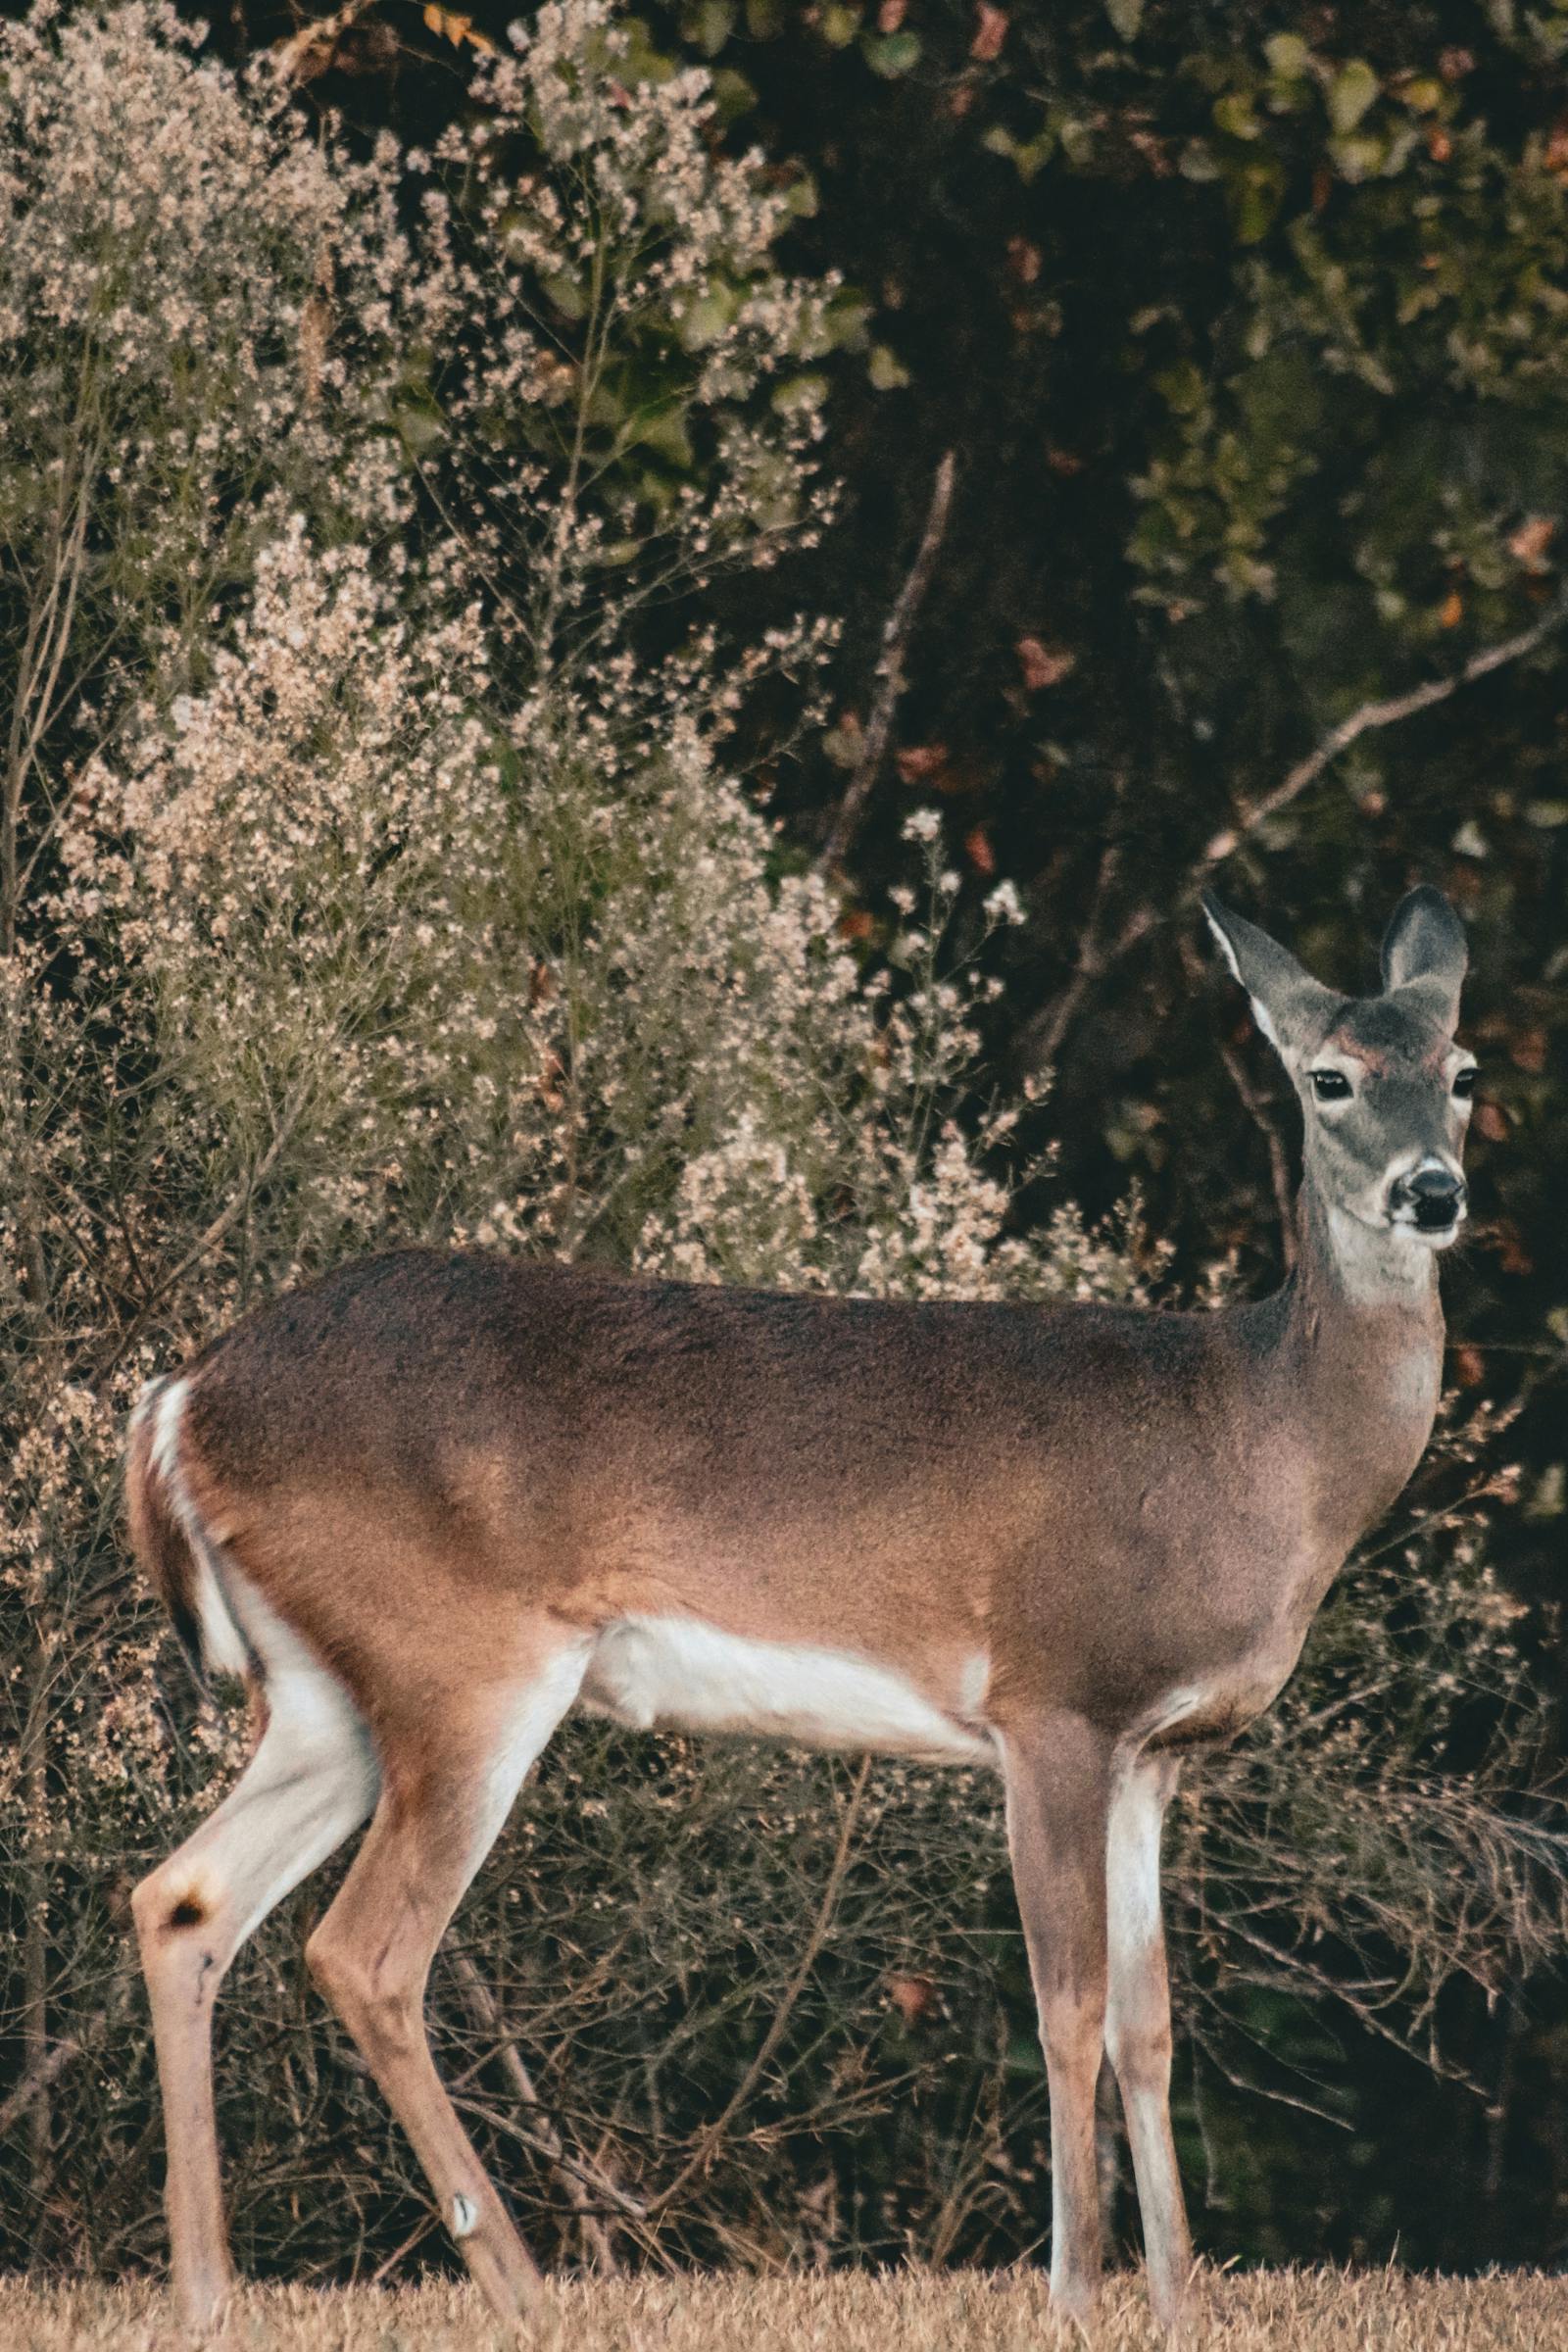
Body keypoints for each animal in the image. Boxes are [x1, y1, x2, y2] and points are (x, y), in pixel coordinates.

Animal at [123, 885, 1476, 2337]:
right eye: (1329, 1077)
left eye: (1460, 1072)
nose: (1434, 1192)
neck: (1254, 1441)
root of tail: (181, 1398)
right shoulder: (1053, 1698)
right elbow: (1066, 2007)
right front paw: (1073, 2294)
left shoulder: (1156, 1754)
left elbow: (1149, 2022)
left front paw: (1174, 2305)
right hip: (464, 1661)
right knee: (364, 1953)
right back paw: (527, 2287)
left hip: (329, 1692)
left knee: (185, 1898)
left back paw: (208, 2295)